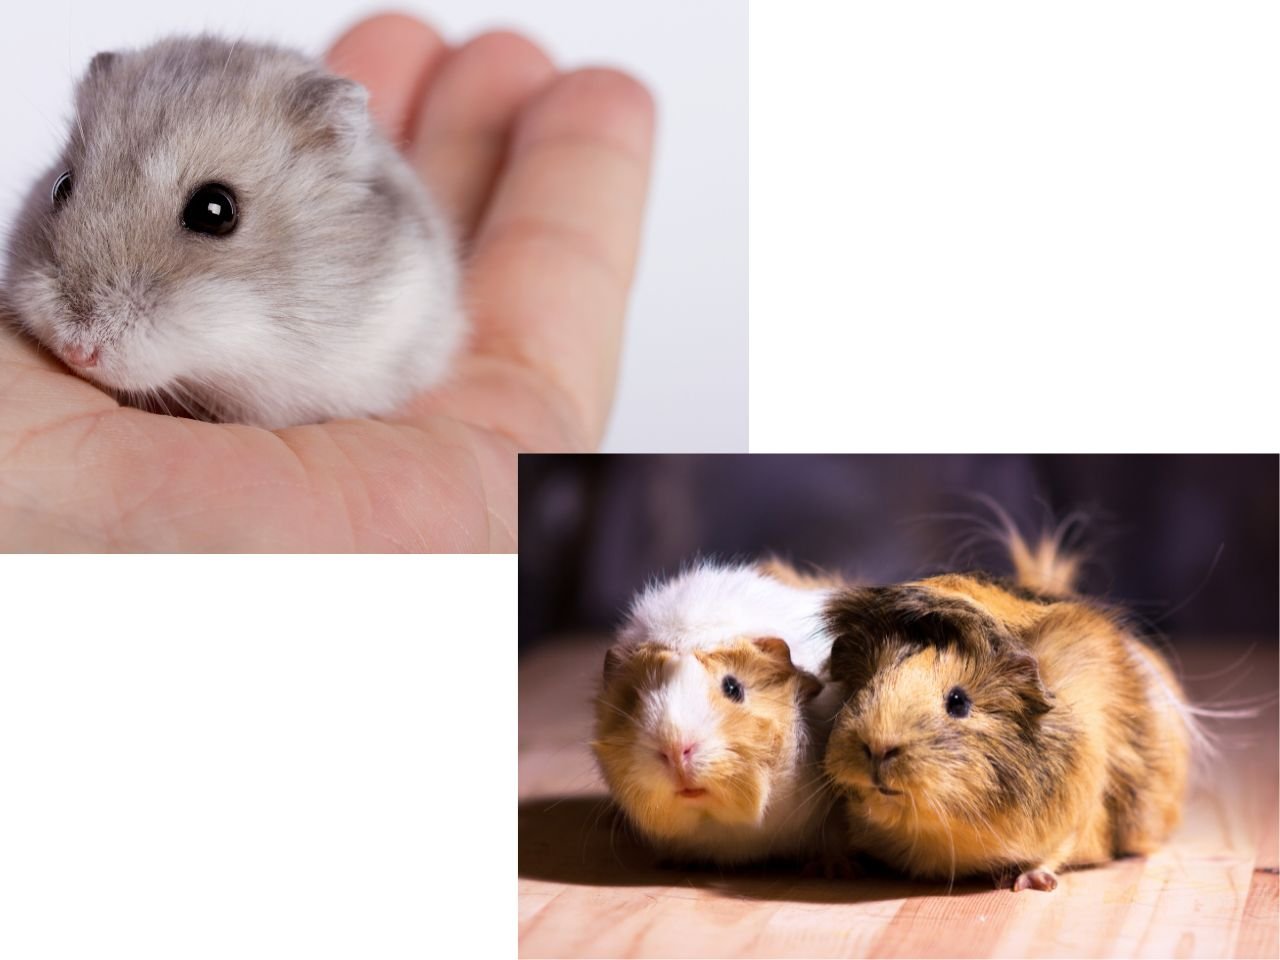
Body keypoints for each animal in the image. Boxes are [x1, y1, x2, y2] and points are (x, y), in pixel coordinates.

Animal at [822, 532, 1193, 892]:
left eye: (958, 701)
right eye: (865, 686)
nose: (878, 746)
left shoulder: (1079, 812)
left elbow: (1057, 849)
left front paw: (1029, 881)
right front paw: (838, 867)